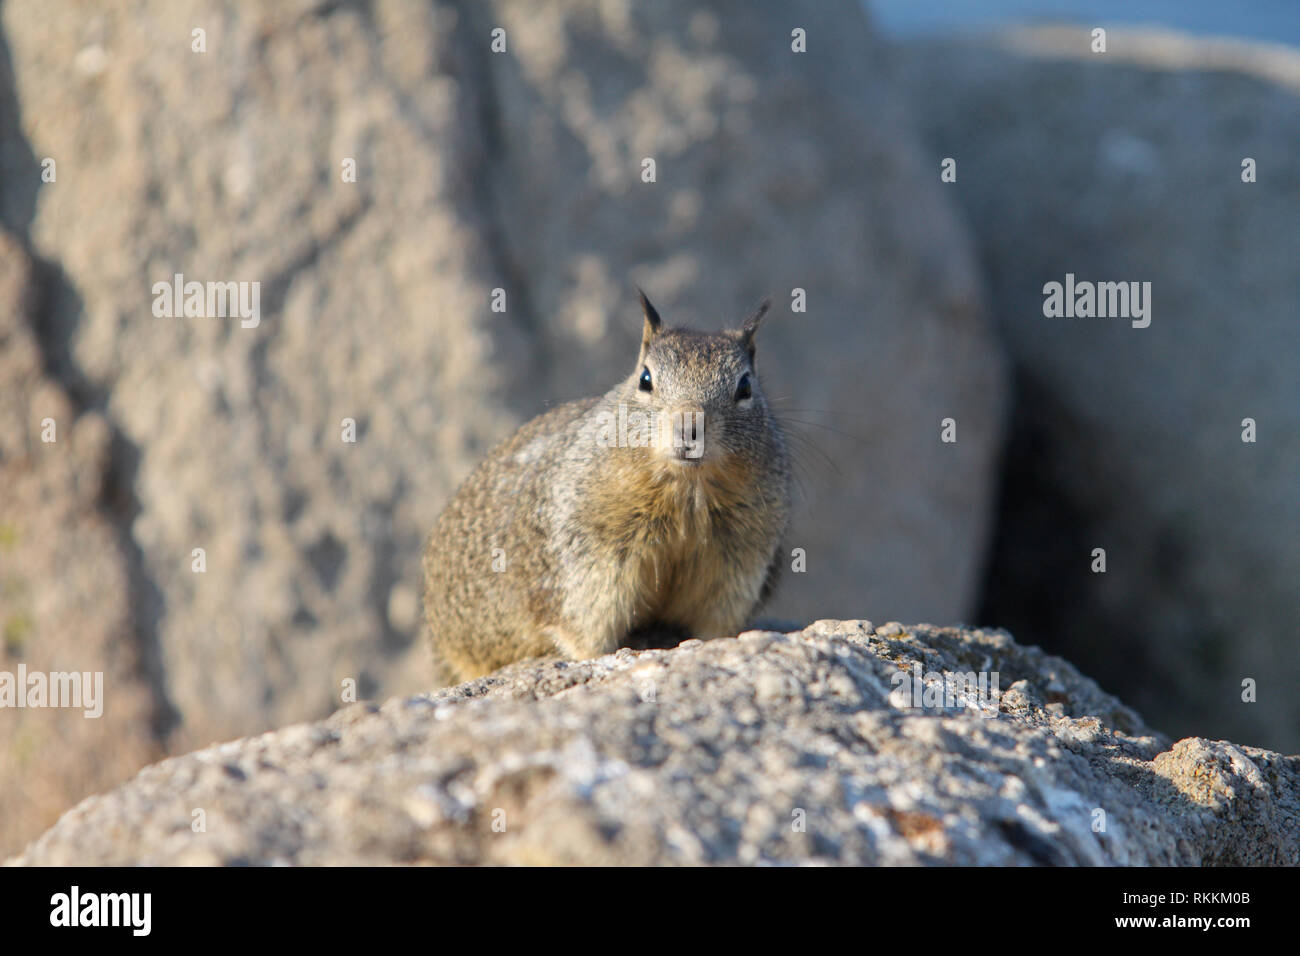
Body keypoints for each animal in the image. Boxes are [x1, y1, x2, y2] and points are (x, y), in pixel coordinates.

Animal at [421, 291, 791, 685]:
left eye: (745, 386)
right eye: (645, 378)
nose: (690, 426)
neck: (686, 493)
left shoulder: (739, 562)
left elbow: (717, 620)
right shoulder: (589, 559)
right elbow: (586, 623)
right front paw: (598, 658)